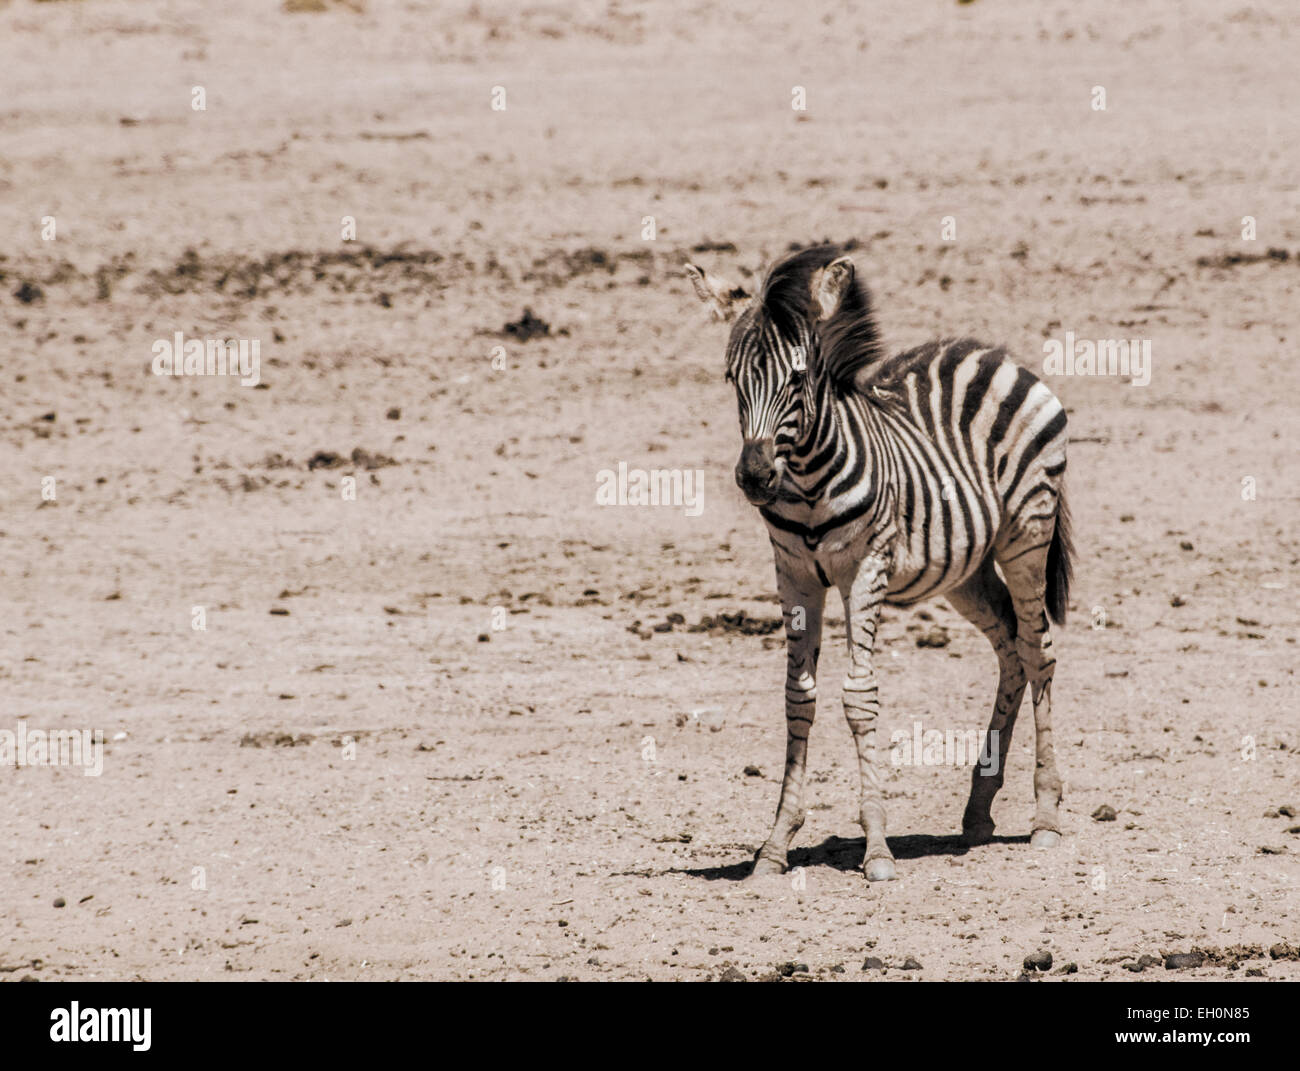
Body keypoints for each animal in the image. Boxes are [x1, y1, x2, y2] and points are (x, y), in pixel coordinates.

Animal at [684, 244, 1074, 882]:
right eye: (730, 378)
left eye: (797, 377)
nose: (755, 477)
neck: (808, 482)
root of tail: (990, 353)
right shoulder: (793, 574)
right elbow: (798, 696)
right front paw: (774, 846)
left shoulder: (865, 569)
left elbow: (858, 697)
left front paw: (876, 846)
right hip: (965, 568)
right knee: (1010, 648)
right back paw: (978, 809)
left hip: (1027, 536)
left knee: (1038, 652)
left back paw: (1045, 816)